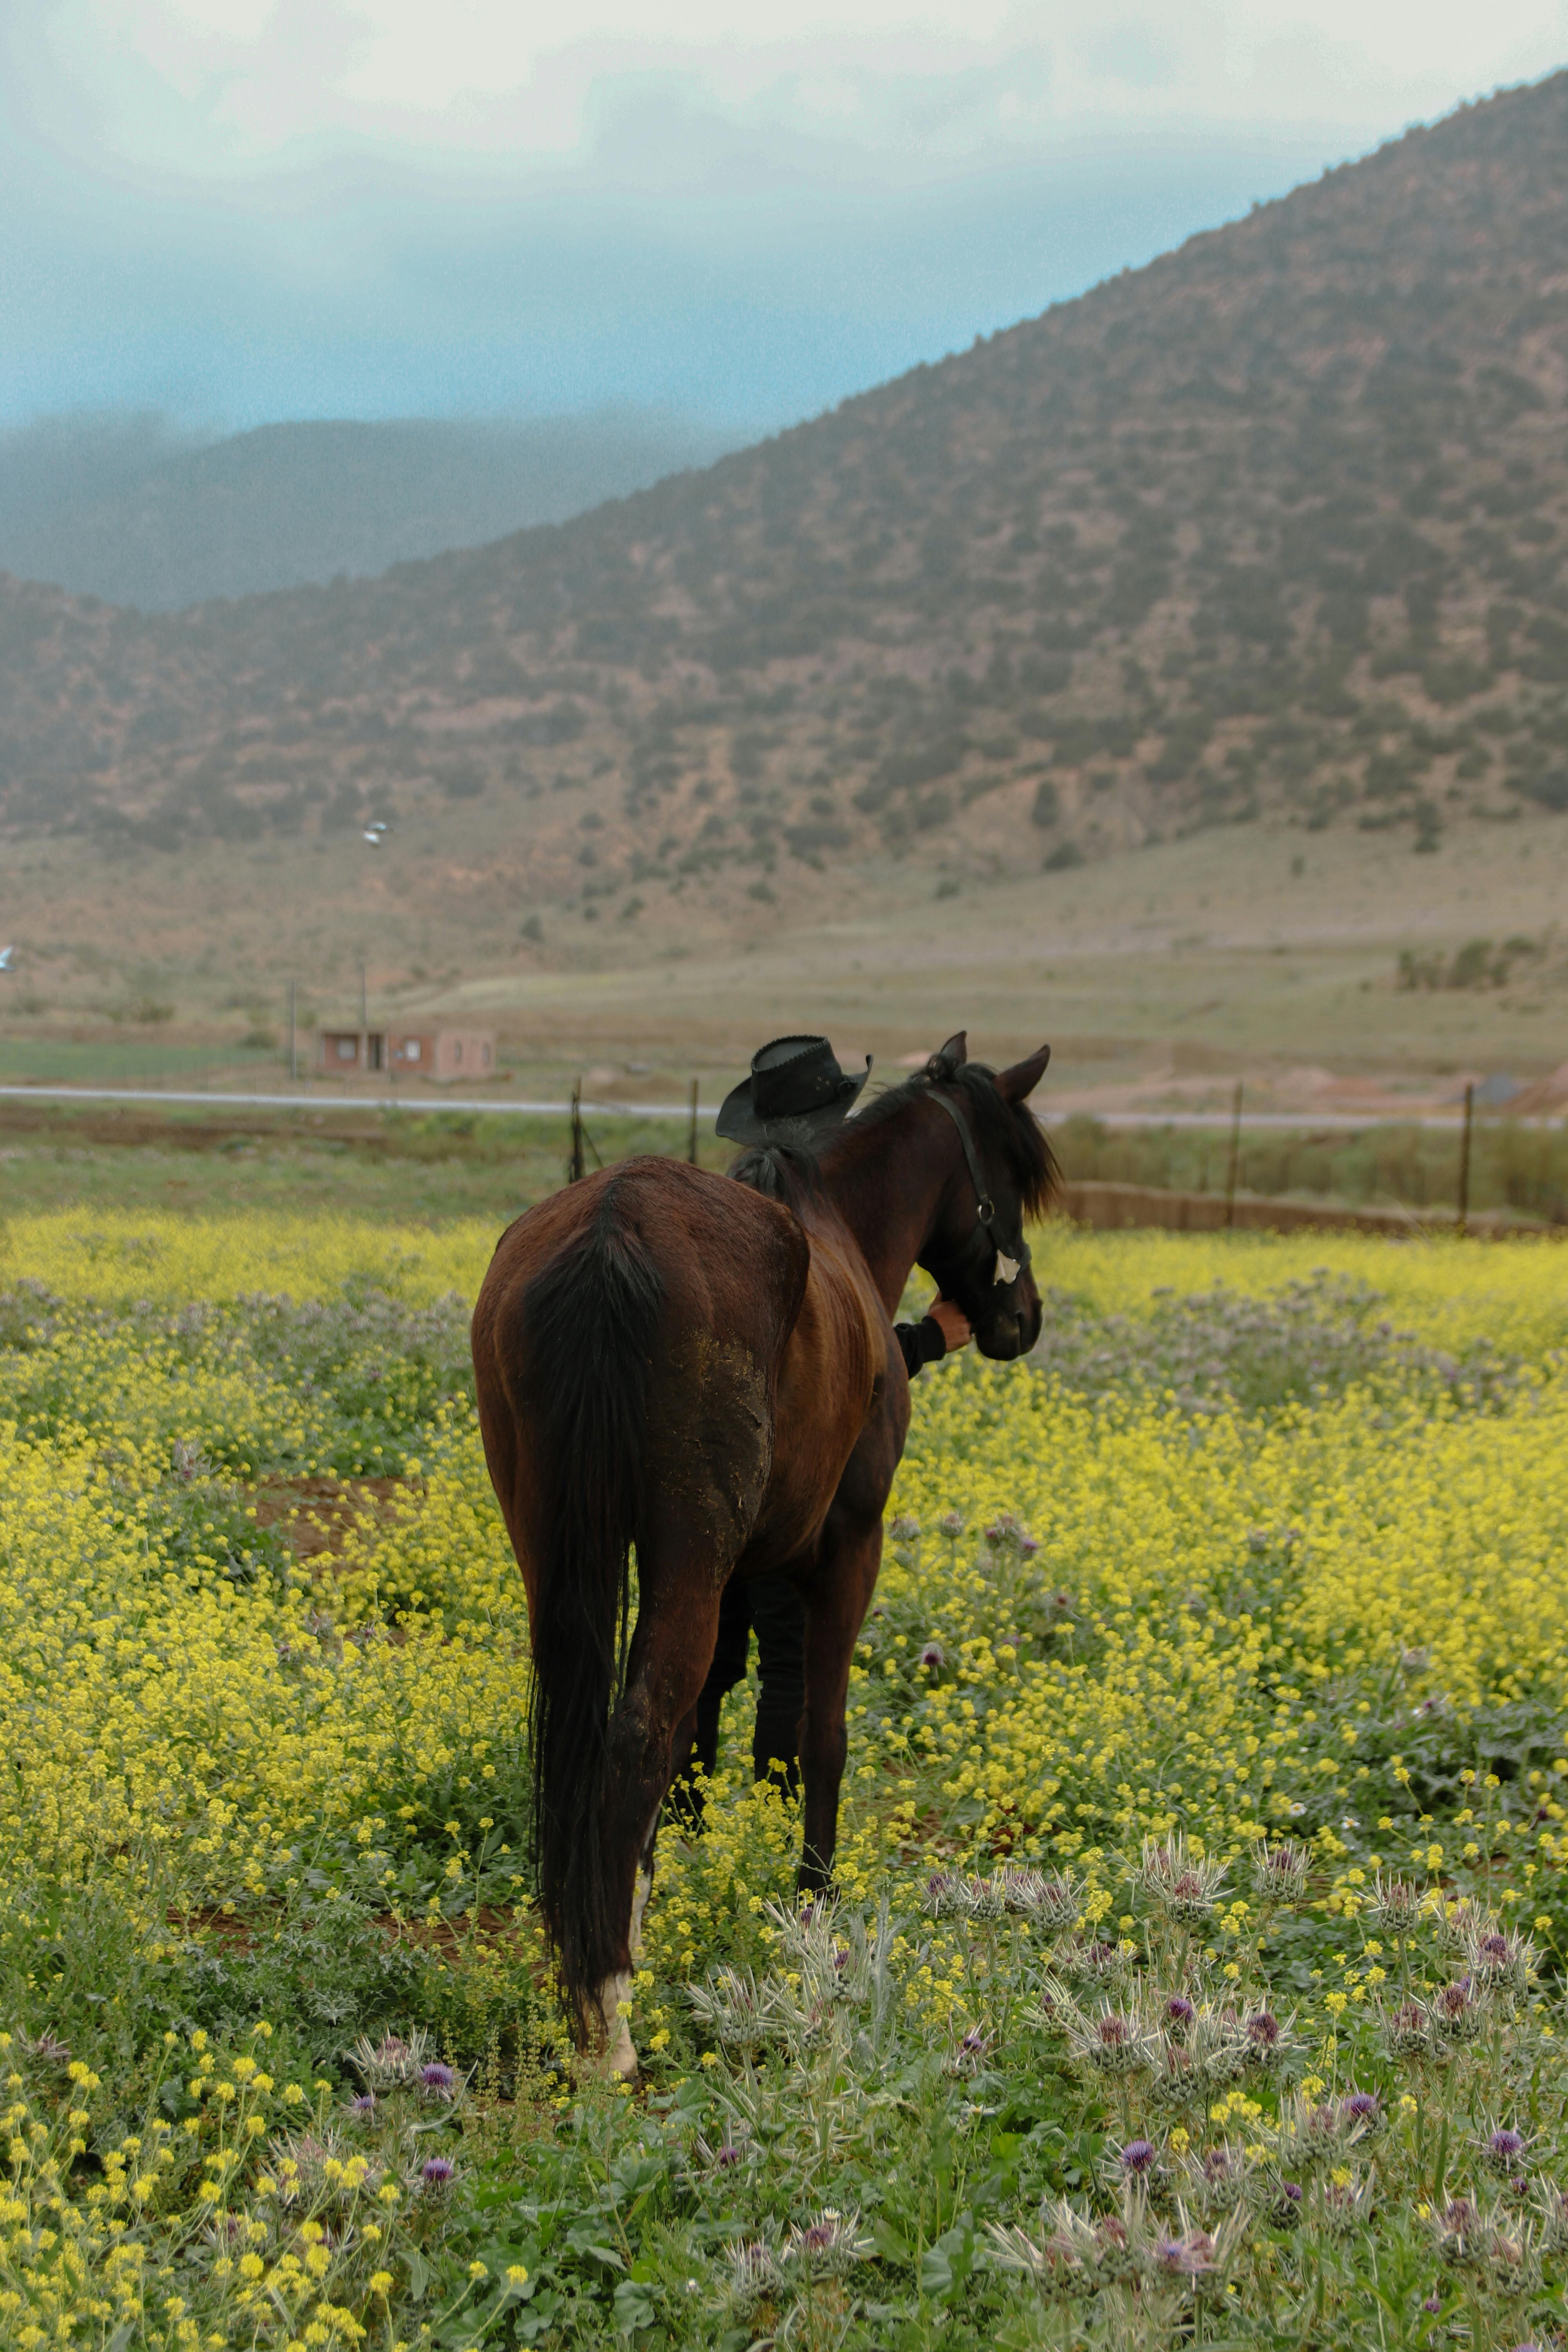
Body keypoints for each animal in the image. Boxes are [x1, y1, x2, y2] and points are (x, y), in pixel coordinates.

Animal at [470, 1031, 1056, 2073]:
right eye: (1011, 1178)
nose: (1019, 1317)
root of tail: (611, 1227)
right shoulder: (847, 1549)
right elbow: (818, 1734)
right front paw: (811, 1902)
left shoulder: (735, 1574)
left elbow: (708, 1731)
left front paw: (672, 1881)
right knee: (637, 1734)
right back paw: (609, 2016)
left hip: (565, 1550)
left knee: (598, 1728)